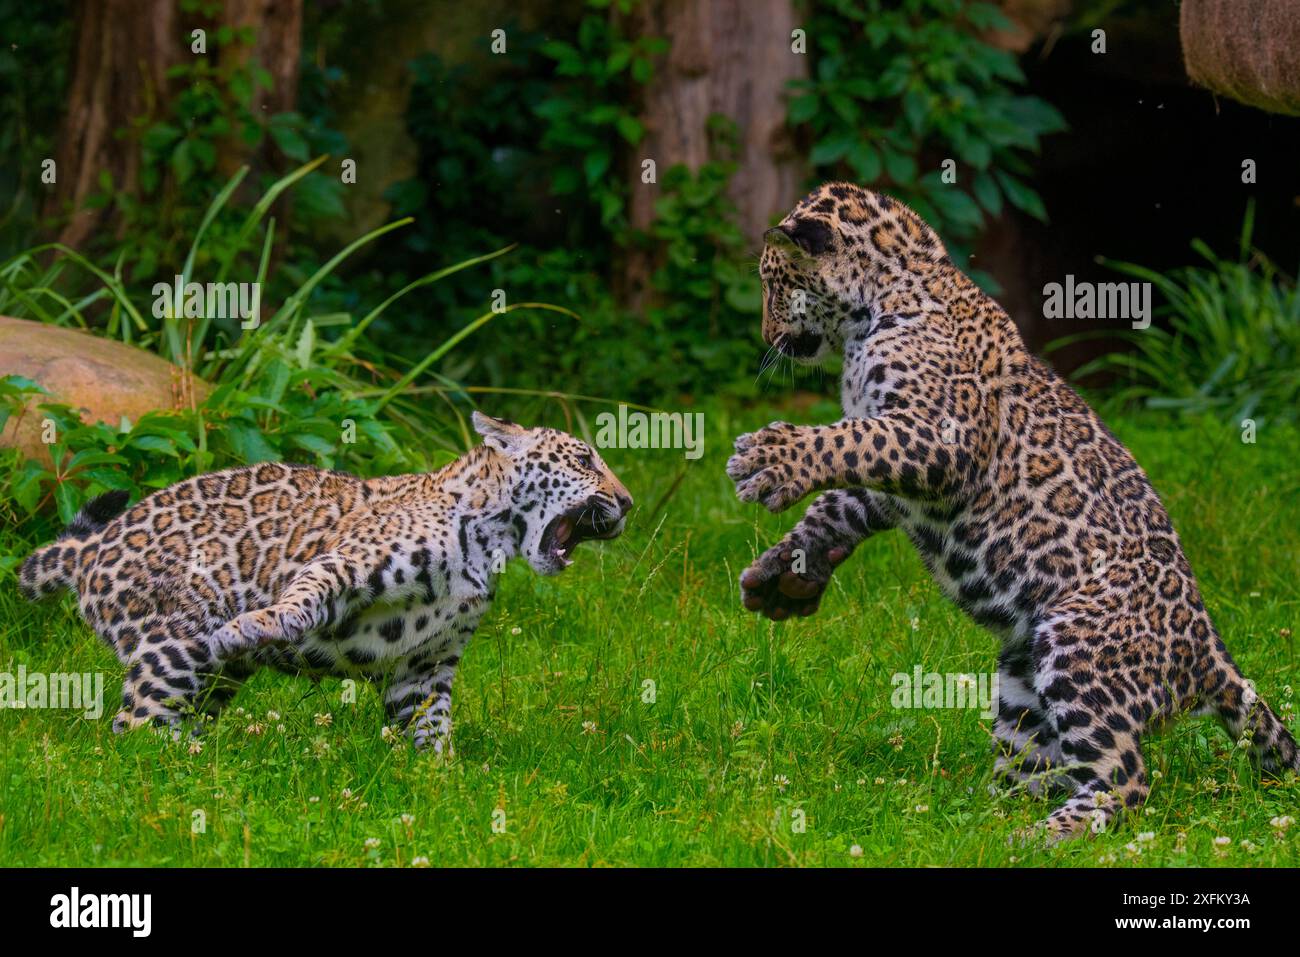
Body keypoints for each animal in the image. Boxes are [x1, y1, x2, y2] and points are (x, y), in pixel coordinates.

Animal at [20, 412, 632, 753]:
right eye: (584, 460)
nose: (628, 502)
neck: (493, 543)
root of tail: (91, 547)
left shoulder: (427, 661)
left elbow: (430, 727)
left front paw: (441, 787)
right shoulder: (346, 559)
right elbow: (305, 597)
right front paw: (259, 624)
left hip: (210, 680)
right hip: (176, 643)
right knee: (134, 727)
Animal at [726, 181, 1298, 841]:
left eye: (773, 283)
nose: (766, 337)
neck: (883, 301)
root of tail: (1207, 653)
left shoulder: (937, 436)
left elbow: (844, 444)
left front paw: (771, 459)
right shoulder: (894, 472)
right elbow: (837, 502)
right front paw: (785, 573)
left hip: (1079, 643)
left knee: (1126, 781)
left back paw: (1044, 836)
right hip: (1023, 671)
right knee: (1037, 764)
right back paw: (978, 820)